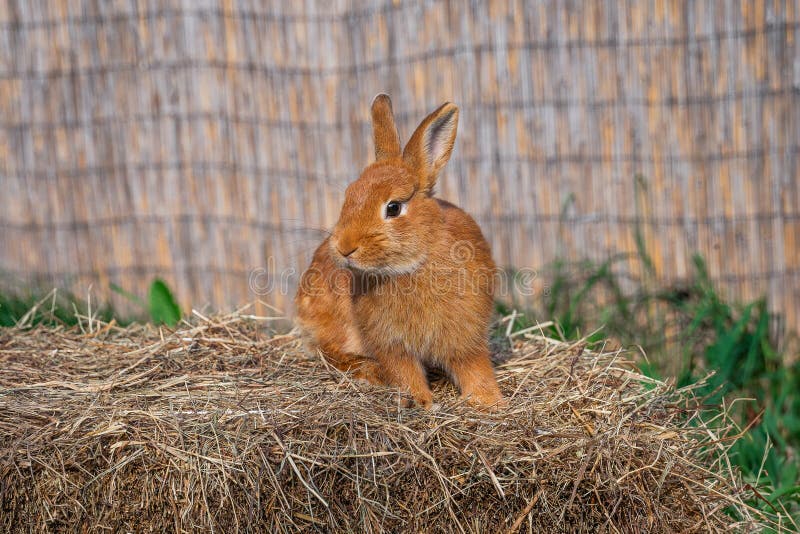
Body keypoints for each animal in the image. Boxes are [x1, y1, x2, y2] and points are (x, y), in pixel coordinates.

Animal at [294, 94, 504, 410]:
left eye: (393, 207)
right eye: (348, 196)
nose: (344, 247)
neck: (415, 263)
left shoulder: (465, 335)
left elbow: (474, 366)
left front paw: (489, 401)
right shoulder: (390, 343)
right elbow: (404, 371)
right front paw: (422, 401)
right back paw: (368, 371)